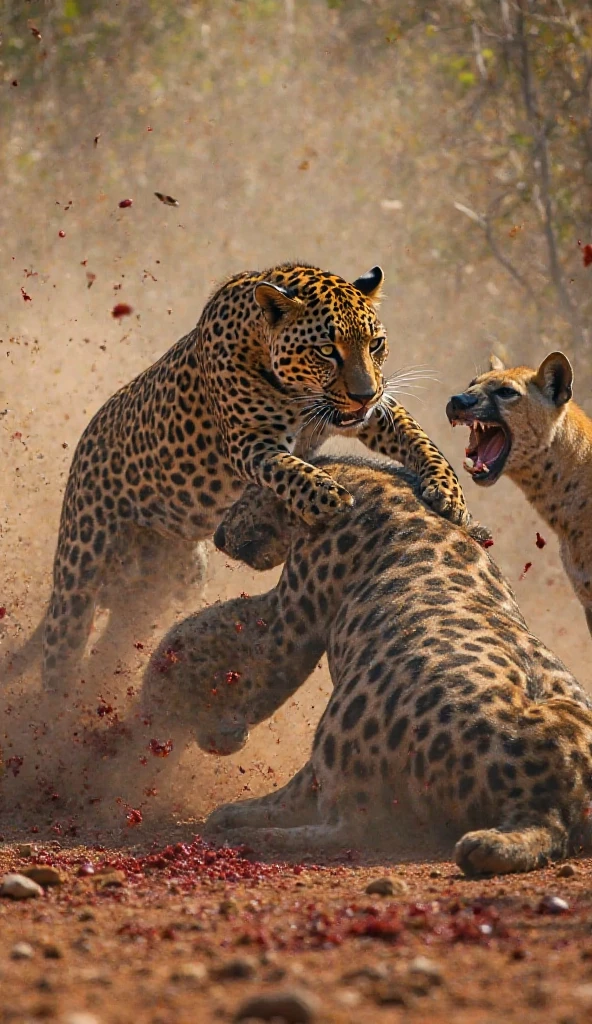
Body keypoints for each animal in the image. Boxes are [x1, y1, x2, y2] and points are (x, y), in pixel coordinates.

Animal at [21, 261, 478, 696]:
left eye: (375, 344)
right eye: (326, 350)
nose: (364, 395)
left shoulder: (375, 414)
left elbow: (420, 440)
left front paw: (449, 495)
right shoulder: (248, 443)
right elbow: (289, 470)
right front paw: (329, 497)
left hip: (168, 590)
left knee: (114, 647)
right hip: (79, 576)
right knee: (59, 662)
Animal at [139, 453, 592, 876]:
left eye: (248, 491)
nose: (218, 535)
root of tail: (552, 802)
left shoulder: (288, 623)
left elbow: (237, 647)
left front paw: (205, 722)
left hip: (344, 718)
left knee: (344, 823)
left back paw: (245, 828)